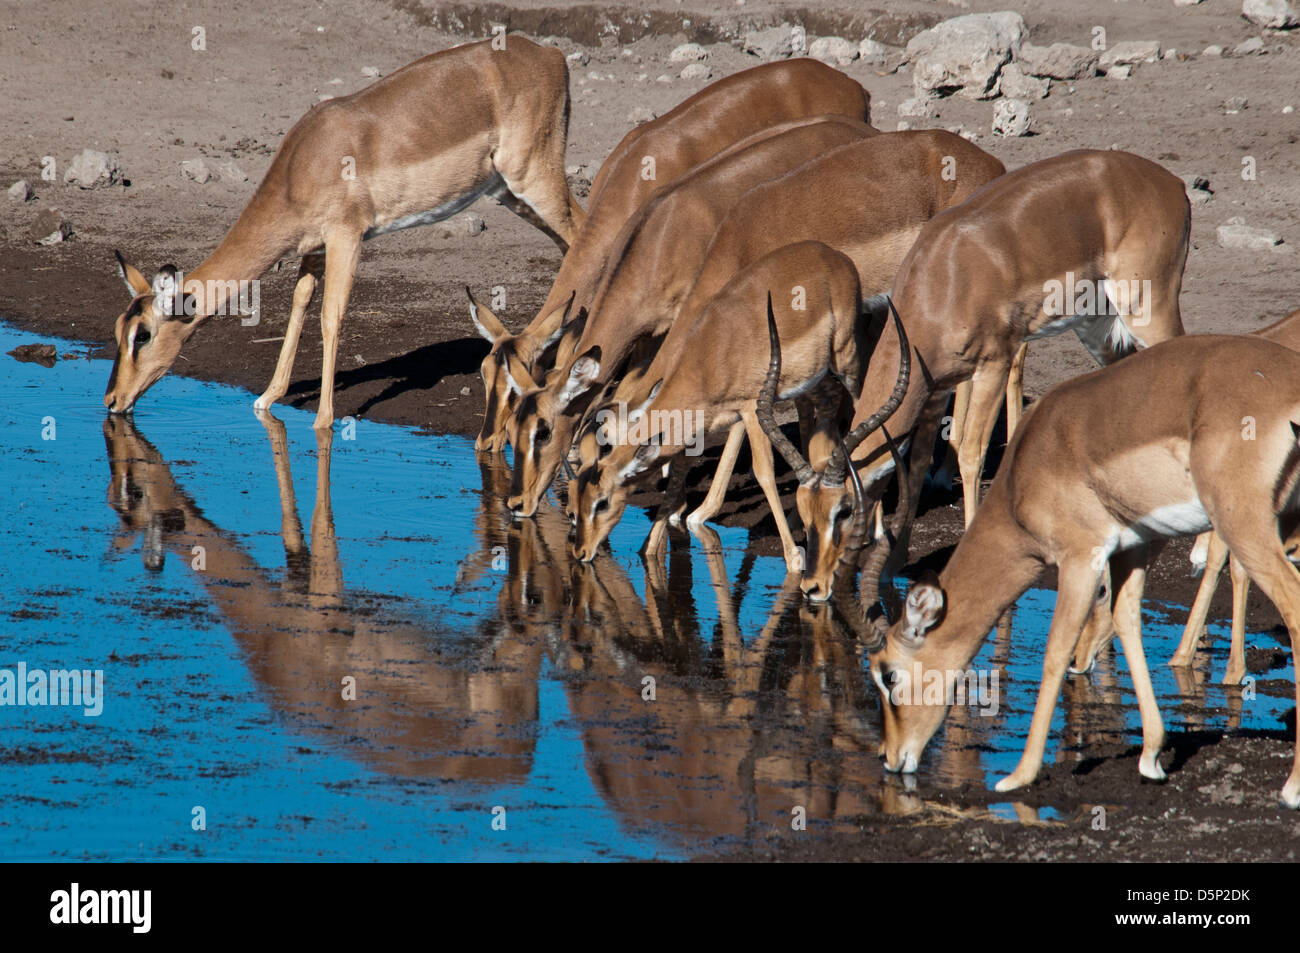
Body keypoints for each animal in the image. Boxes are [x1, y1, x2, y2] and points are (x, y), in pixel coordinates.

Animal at [106, 36, 585, 430]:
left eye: (142, 334)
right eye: (117, 328)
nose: (111, 401)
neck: (303, 164)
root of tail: (550, 54)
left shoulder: (347, 237)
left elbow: (330, 316)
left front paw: (323, 420)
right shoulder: (313, 248)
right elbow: (300, 303)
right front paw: (268, 398)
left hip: (534, 179)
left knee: (581, 233)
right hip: (509, 193)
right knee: (572, 243)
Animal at [569, 242, 908, 572]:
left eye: (602, 502)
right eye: (575, 504)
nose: (581, 552)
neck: (711, 355)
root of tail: (835, 257)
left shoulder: (752, 409)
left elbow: (764, 472)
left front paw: (794, 558)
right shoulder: (706, 422)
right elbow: (679, 469)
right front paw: (648, 549)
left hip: (846, 360)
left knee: (866, 405)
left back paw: (874, 529)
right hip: (817, 379)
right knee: (828, 409)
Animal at [790, 149, 1191, 602]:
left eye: (842, 510)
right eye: (803, 510)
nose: (812, 586)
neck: (943, 276)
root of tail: (1170, 182)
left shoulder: (994, 363)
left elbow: (970, 451)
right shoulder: (935, 383)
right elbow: (918, 460)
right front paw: (892, 565)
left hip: (1148, 310)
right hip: (1099, 330)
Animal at [867, 334, 1300, 809]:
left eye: (888, 674)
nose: (889, 757)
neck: (1023, 468)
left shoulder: (1079, 557)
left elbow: (1056, 651)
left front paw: (1019, 775)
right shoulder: (1134, 547)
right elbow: (1126, 621)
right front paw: (1150, 758)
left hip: (1245, 525)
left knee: (1292, 604)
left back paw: (1291, 786)